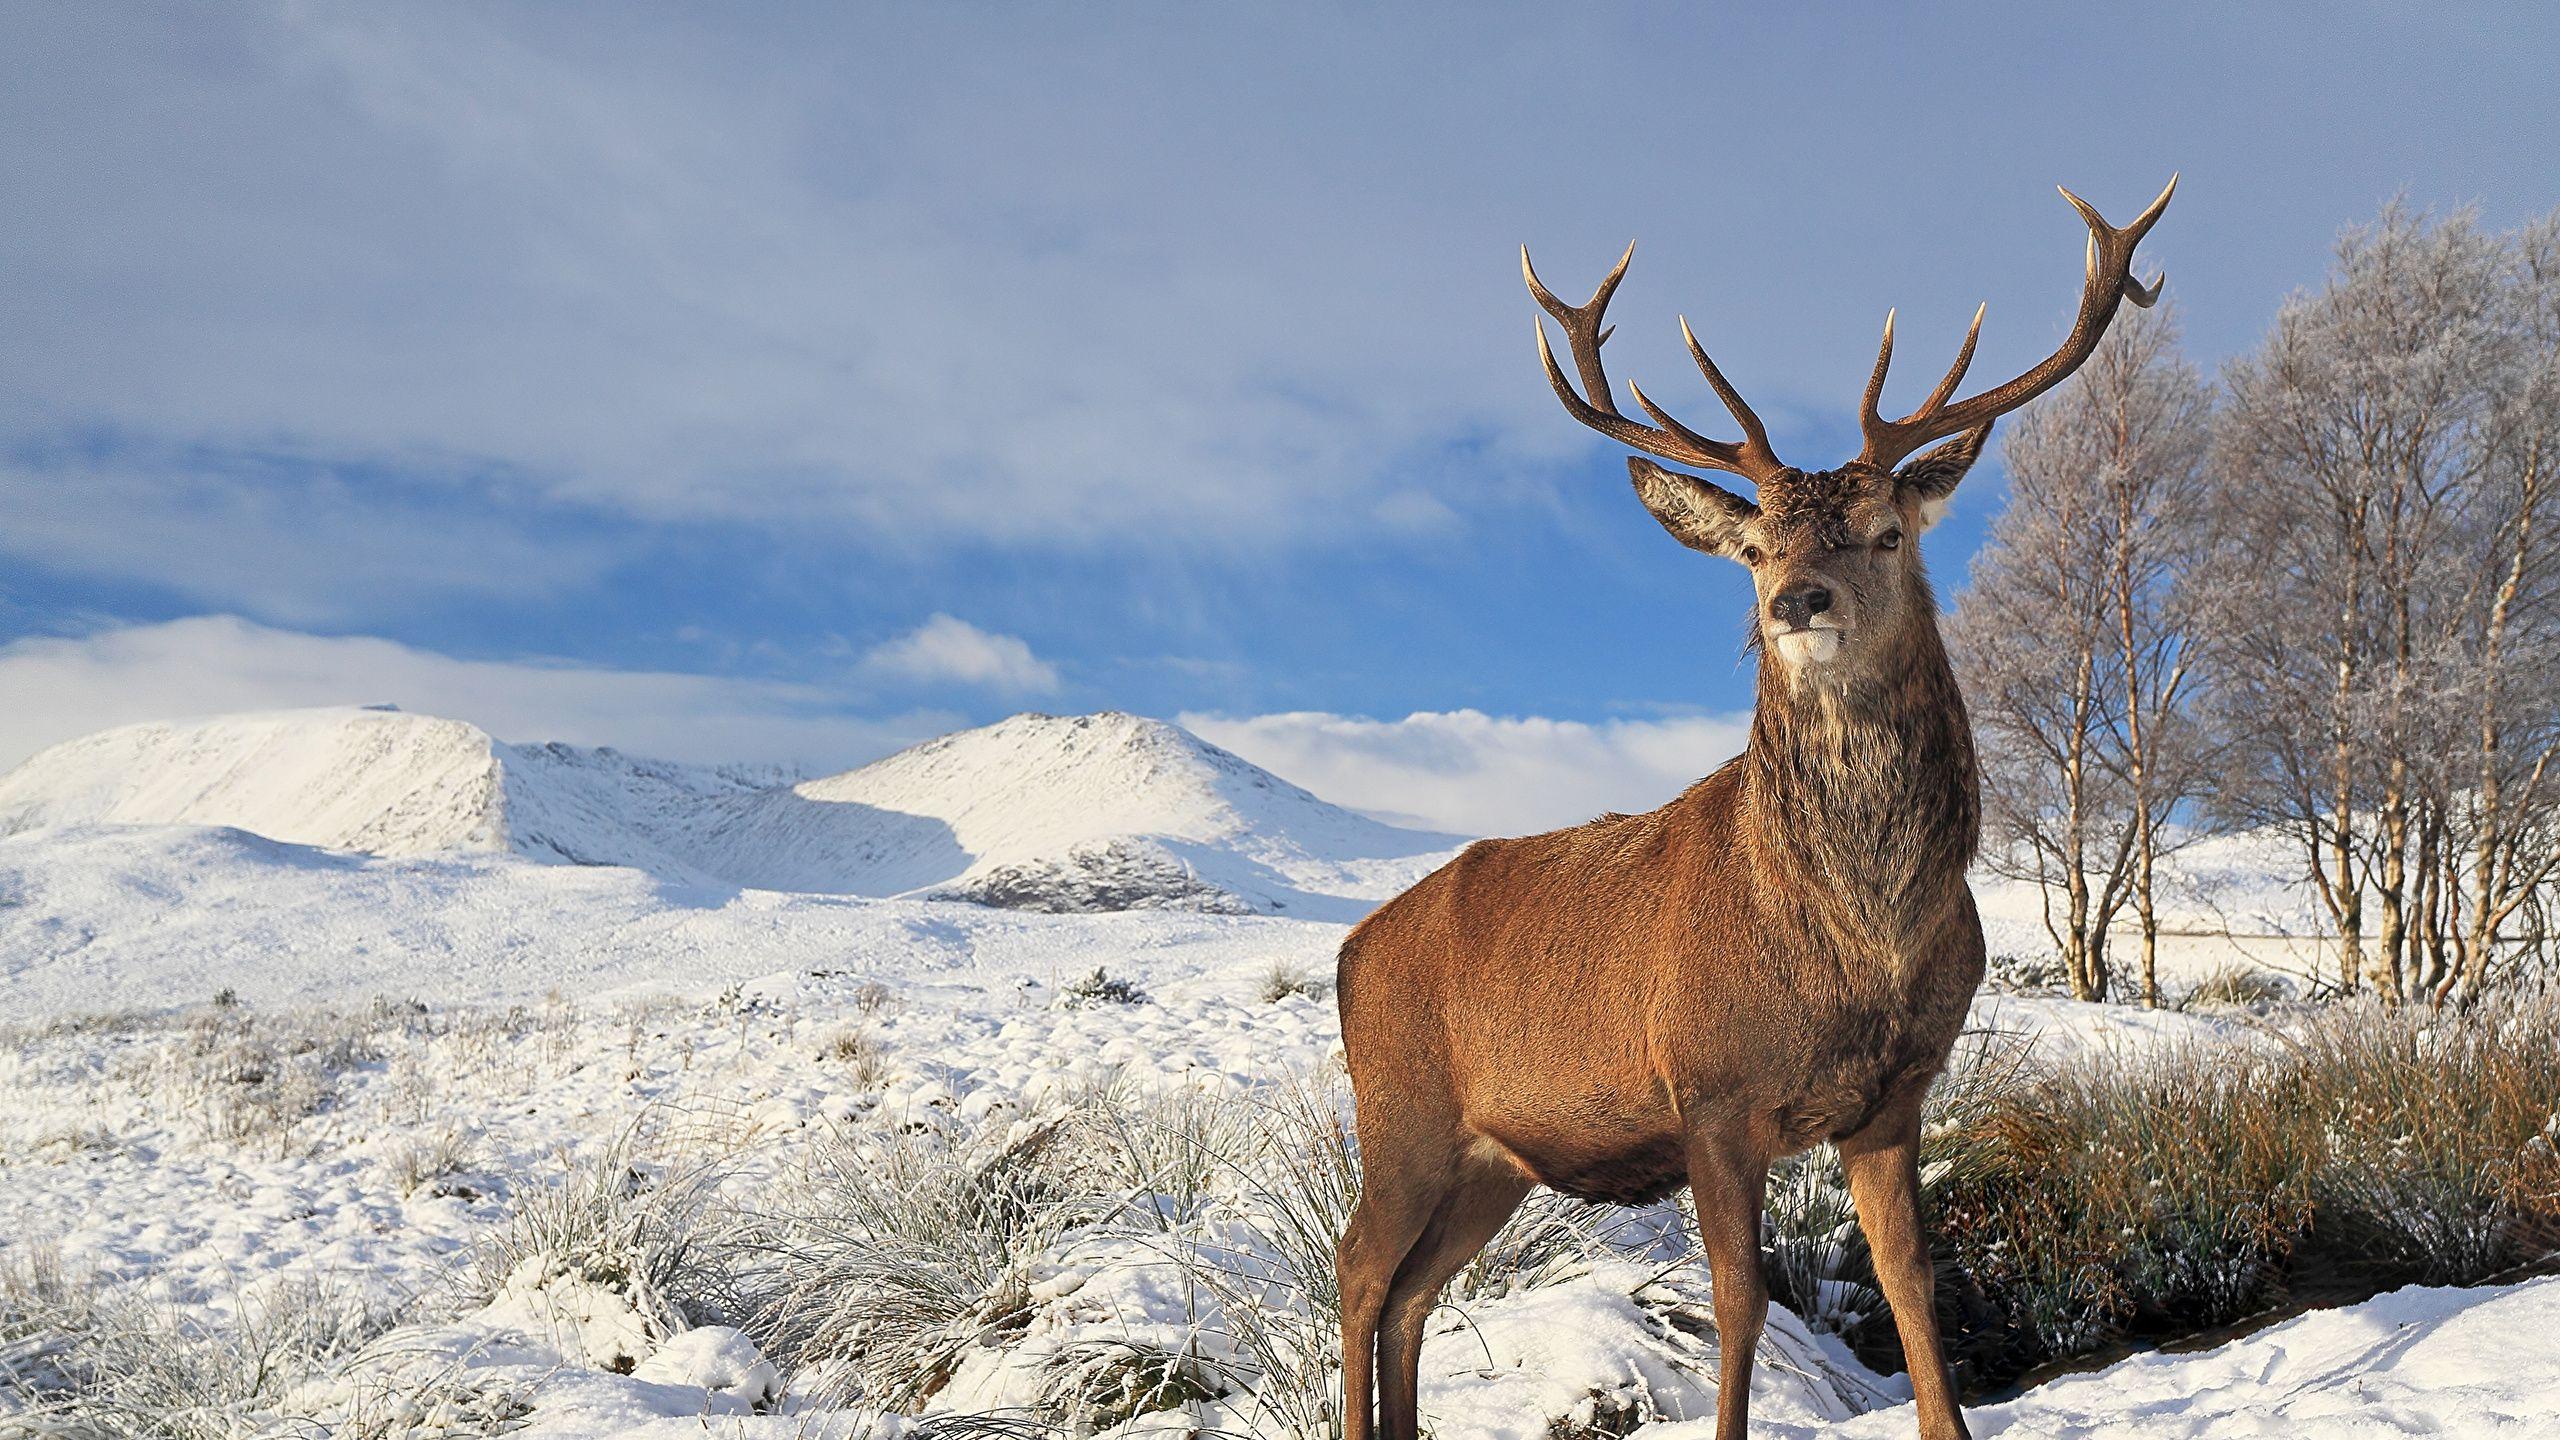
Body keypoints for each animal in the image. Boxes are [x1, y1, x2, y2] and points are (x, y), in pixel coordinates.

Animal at [1333, 176, 2175, 1440]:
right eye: (1752, 547)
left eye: (1887, 531)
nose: (1795, 600)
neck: (1859, 941)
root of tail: (1348, 952)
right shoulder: (1711, 1093)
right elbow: (1740, 1303)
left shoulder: (1892, 1096)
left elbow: (1911, 1282)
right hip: (1402, 1114)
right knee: (1355, 1272)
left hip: (1493, 1160)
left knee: (1413, 1296)